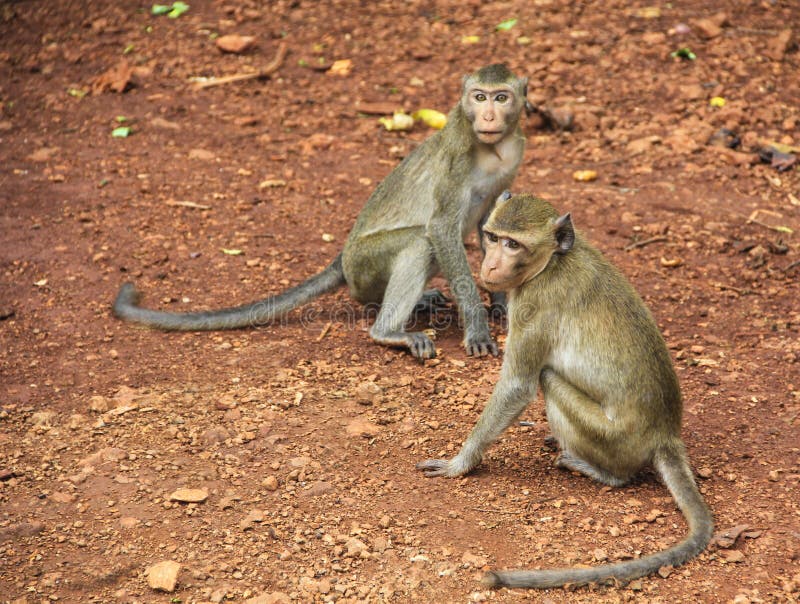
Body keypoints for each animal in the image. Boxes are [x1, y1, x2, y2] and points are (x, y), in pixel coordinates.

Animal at [113, 64, 528, 360]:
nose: (488, 117)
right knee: (419, 242)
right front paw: (477, 327)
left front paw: (500, 302)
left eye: (501, 97)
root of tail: (341, 260)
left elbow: (491, 221)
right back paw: (387, 333)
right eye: (479, 97)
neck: (492, 149)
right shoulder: (458, 152)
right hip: (364, 264)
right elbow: (440, 227)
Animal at [417, 192, 713, 588]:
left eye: (514, 245)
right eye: (493, 238)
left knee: (549, 379)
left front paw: (459, 463)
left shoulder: (534, 304)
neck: (552, 263)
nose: (490, 265)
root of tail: (665, 434)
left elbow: (519, 385)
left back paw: (604, 473)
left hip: (614, 440)